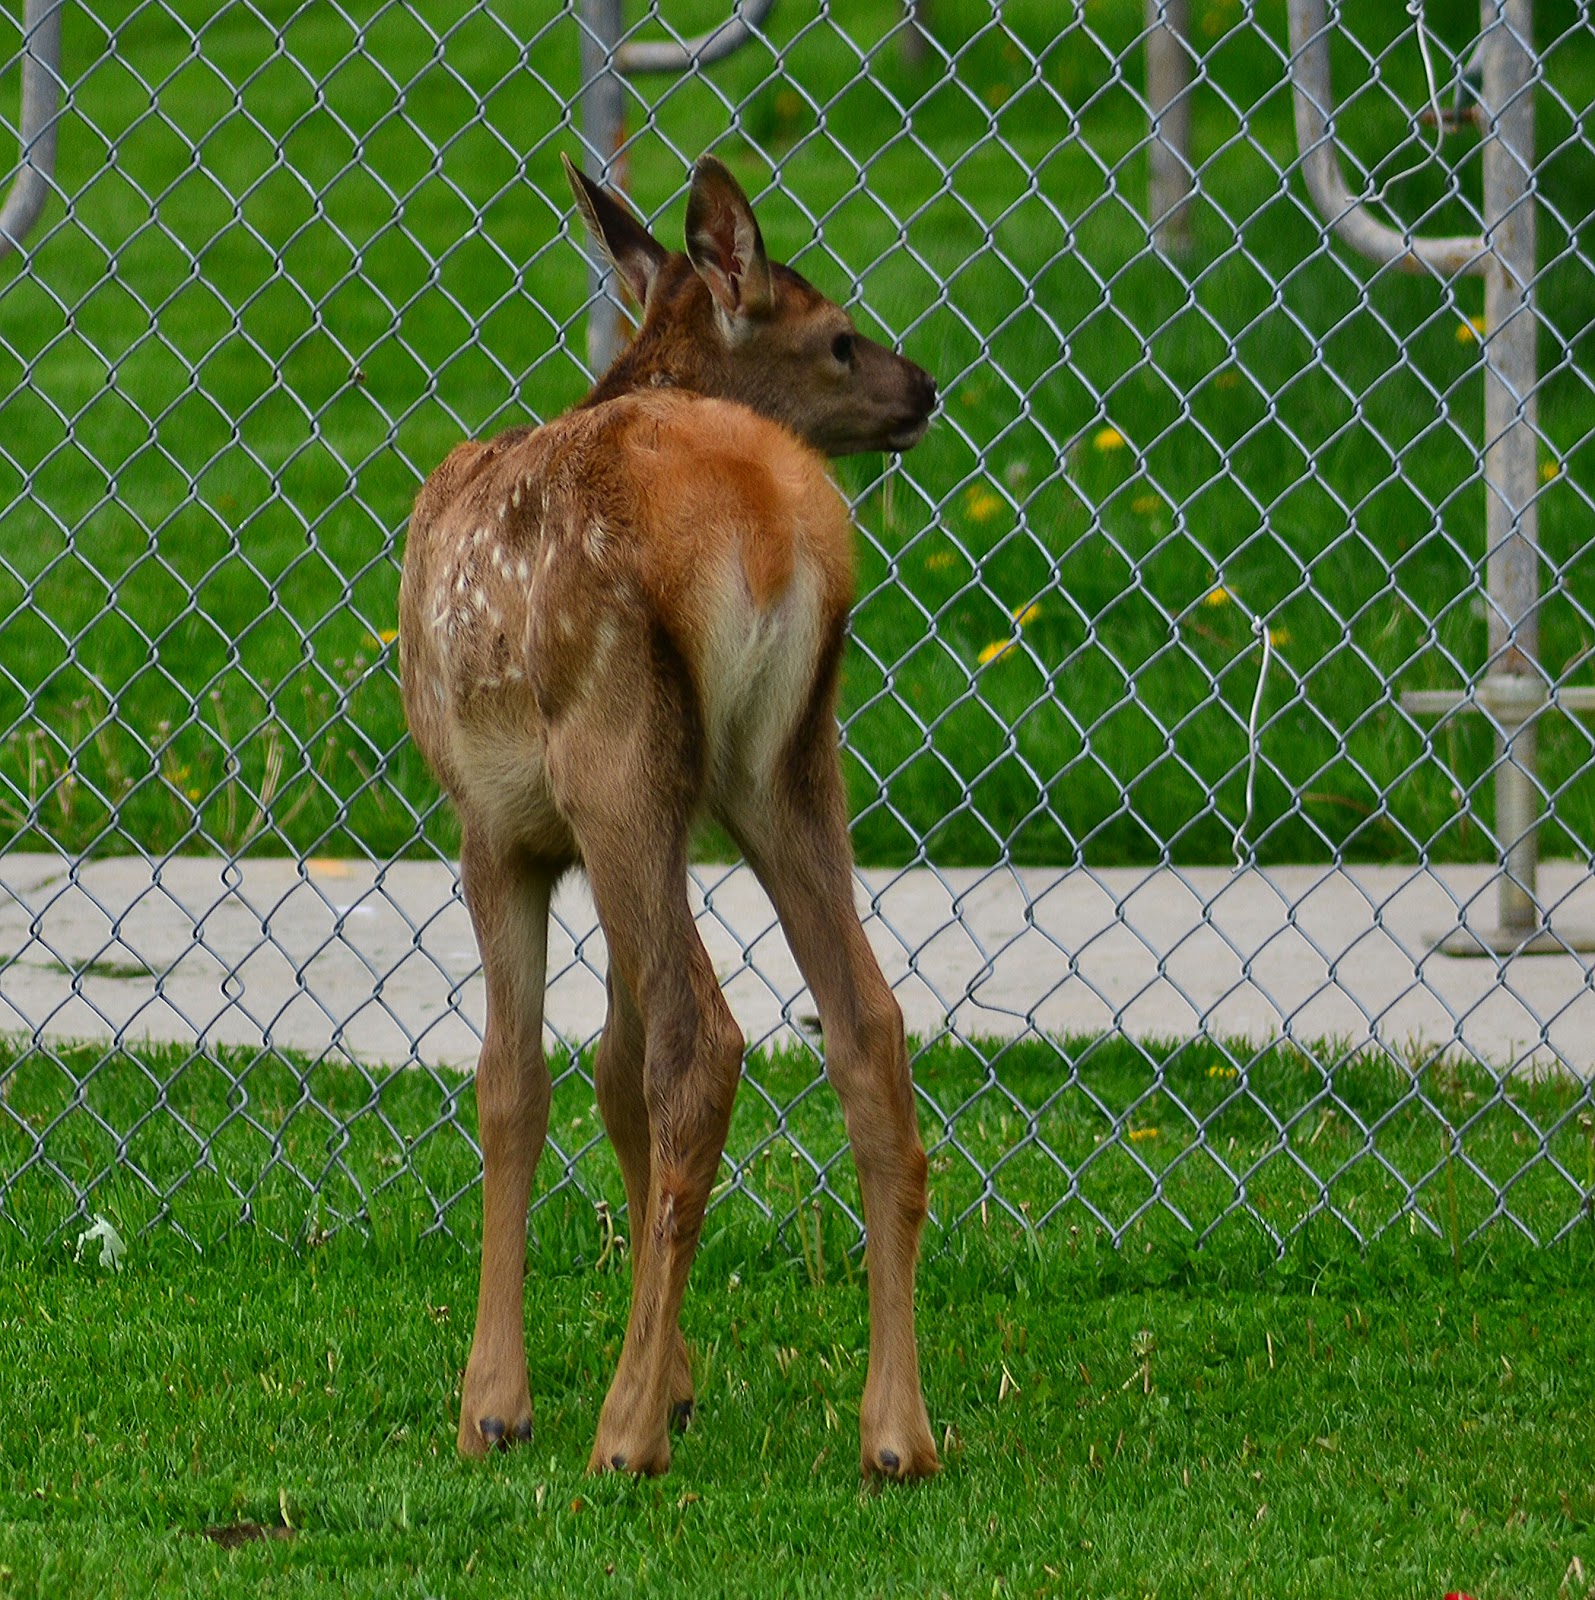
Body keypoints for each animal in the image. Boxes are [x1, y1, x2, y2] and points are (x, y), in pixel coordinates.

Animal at [398, 152, 941, 1482]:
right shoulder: (635, 833)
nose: (921, 387)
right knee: (865, 1021)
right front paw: (686, 1376)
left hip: (614, 741)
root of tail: (775, 522)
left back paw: (622, 1431)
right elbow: (609, 1068)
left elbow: (515, 1079)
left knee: (706, 1041)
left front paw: (495, 1402)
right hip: (781, 761)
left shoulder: (494, 823)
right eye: (839, 337)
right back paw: (893, 1431)